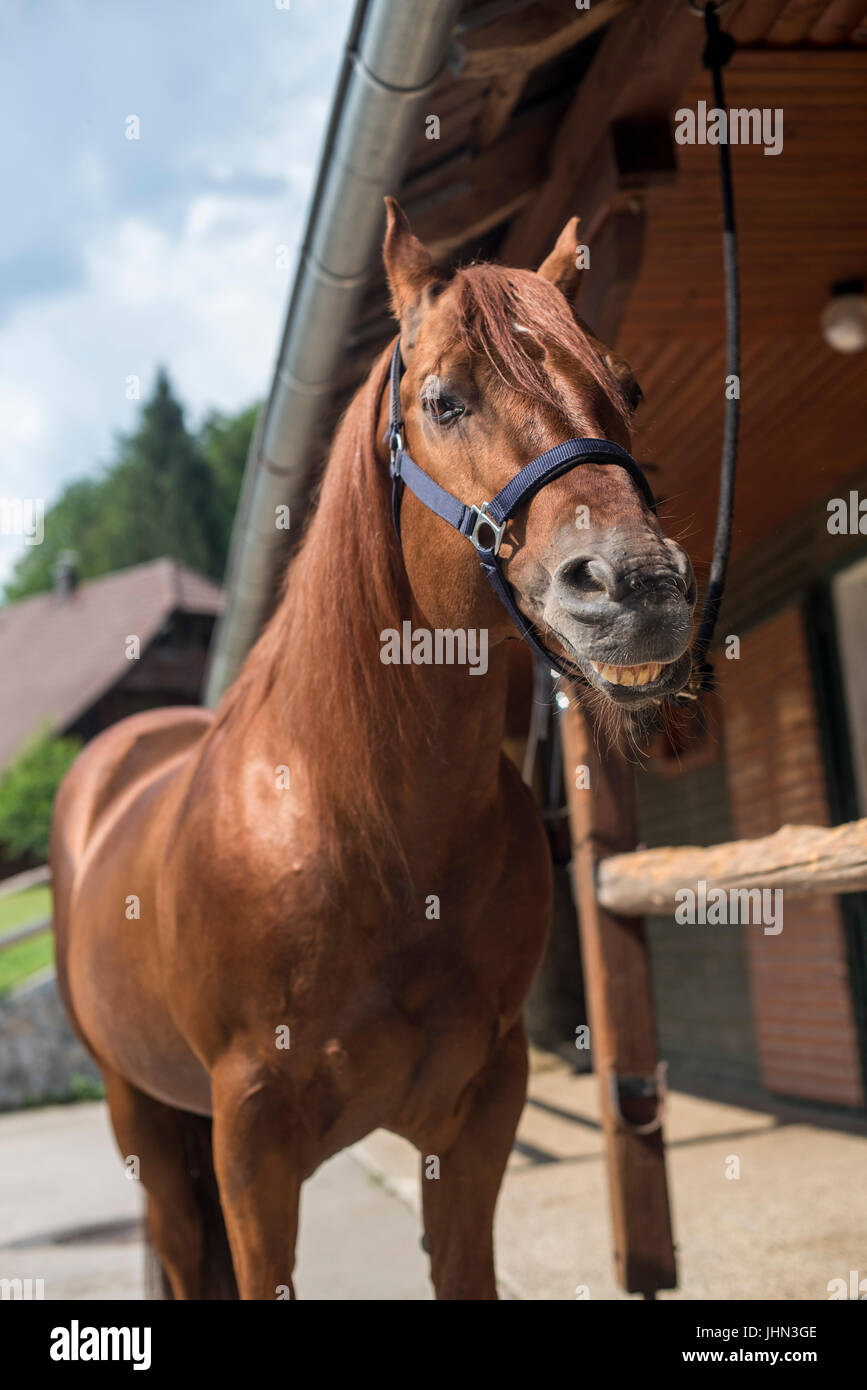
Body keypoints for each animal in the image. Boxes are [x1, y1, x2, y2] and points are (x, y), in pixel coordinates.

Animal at [50, 199, 696, 1300]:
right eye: (443, 400)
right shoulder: (252, 1149)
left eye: (629, 387)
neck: (367, 828)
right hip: (140, 1116)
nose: (639, 587)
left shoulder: (480, 1118)